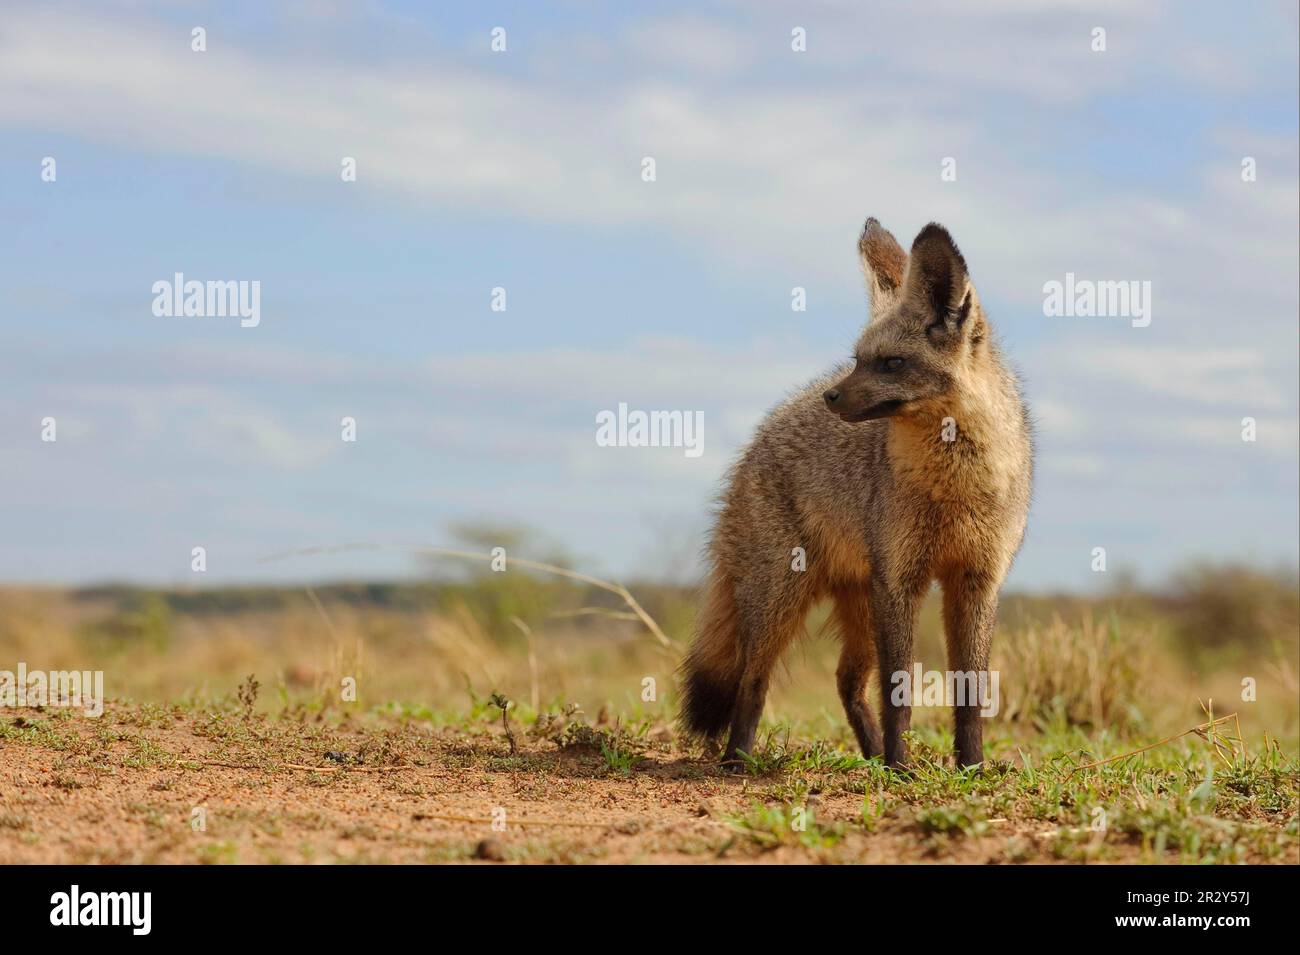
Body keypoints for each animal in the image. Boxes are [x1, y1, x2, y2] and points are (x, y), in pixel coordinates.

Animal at [679, 218, 1032, 770]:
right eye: (858, 360)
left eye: (890, 363)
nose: (831, 398)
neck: (954, 488)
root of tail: (760, 436)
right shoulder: (901, 581)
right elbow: (899, 692)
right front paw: (901, 769)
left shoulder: (976, 580)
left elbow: (969, 694)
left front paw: (969, 768)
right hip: (782, 599)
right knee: (751, 682)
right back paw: (738, 762)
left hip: (858, 607)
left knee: (846, 683)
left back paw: (870, 756)